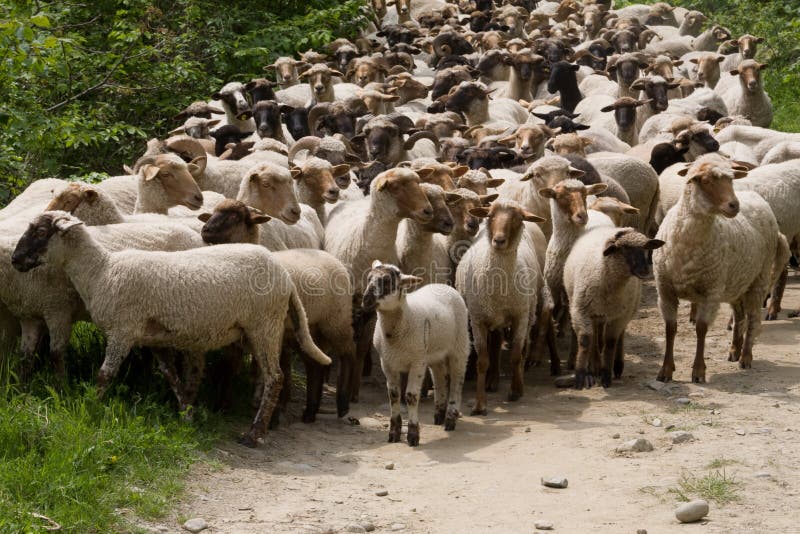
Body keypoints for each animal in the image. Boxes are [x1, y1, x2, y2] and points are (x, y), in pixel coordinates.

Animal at [12, 211, 330, 446]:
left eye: (40, 232)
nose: (15, 260)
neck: (101, 271)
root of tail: (284, 275)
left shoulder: (122, 331)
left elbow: (105, 375)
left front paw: (90, 407)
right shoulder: (152, 338)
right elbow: (171, 374)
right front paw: (187, 414)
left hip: (265, 323)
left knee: (274, 377)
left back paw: (254, 434)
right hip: (257, 328)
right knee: (268, 375)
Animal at [363, 261, 469, 445]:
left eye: (387, 281)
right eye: (369, 278)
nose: (366, 300)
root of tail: (443, 285)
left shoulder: (417, 362)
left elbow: (411, 396)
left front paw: (413, 434)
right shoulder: (387, 363)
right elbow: (394, 395)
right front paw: (394, 433)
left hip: (459, 346)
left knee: (457, 381)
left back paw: (451, 418)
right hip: (434, 353)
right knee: (440, 377)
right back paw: (439, 414)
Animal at [455, 199, 545, 414]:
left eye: (518, 218)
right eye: (491, 215)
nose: (499, 240)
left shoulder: (520, 315)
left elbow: (515, 355)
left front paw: (515, 390)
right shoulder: (478, 319)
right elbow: (482, 361)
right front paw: (480, 404)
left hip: (529, 312)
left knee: (522, 349)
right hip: (493, 317)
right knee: (496, 345)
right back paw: (493, 380)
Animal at [564, 227, 665, 388]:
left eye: (645, 248)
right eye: (624, 249)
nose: (645, 271)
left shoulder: (619, 315)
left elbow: (611, 342)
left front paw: (606, 375)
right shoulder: (580, 311)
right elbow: (586, 340)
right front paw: (581, 376)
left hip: (626, 310)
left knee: (620, 335)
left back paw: (617, 366)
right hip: (594, 312)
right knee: (595, 335)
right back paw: (594, 366)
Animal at [653, 157, 790, 383]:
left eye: (731, 179)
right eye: (706, 181)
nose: (734, 205)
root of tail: (756, 197)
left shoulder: (711, 292)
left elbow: (701, 329)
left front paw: (699, 371)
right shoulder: (665, 291)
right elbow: (670, 328)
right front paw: (665, 370)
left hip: (758, 280)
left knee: (752, 318)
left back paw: (745, 356)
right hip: (737, 282)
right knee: (740, 316)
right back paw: (734, 350)